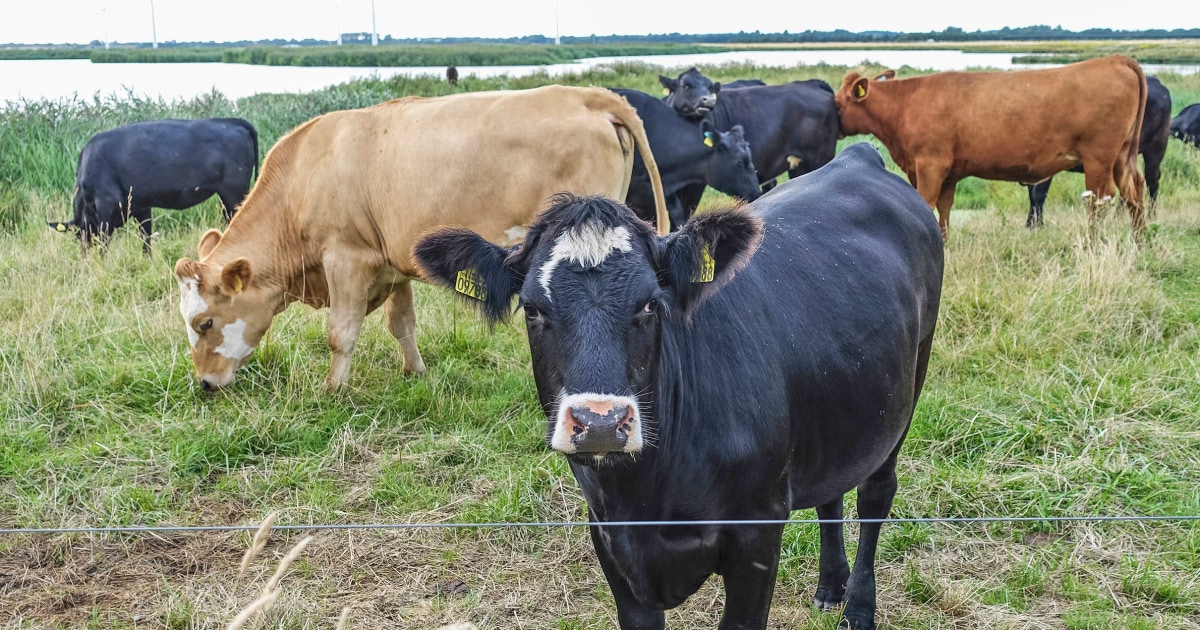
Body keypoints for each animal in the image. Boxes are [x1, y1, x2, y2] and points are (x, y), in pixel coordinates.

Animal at [49, 117, 258, 254]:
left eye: (79, 233)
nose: (83, 254)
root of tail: (232, 121)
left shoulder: (107, 205)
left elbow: (105, 242)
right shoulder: (141, 206)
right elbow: (146, 238)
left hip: (234, 192)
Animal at [173, 85, 667, 391]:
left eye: (205, 323)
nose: (204, 383)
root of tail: (589, 95)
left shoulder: (345, 258)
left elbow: (341, 332)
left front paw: (332, 390)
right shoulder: (393, 262)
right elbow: (402, 324)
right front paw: (415, 372)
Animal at [412, 143, 944, 630]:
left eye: (651, 303)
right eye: (532, 308)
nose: (600, 423)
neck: (646, 495)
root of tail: (857, 156)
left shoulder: (758, 532)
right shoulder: (610, 539)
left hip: (909, 384)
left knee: (875, 494)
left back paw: (857, 608)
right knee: (832, 491)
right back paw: (831, 587)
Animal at [834, 55, 1148, 240]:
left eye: (838, 104)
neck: (906, 104)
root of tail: (1115, 60)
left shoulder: (930, 165)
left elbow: (926, 202)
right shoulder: (949, 172)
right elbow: (945, 209)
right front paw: (944, 242)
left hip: (1099, 157)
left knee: (1100, 199)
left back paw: (1094, 241)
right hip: (1122, 156)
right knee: (1134, 190)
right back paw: (1140, 239)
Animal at [1027, 75, 1171, 226]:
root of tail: (1155, 81)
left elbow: (1038, 194)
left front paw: (1035, 225)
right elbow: (1033, 195)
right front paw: (1032, 223)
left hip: (1155, 151)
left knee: (1152, 182)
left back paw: (1151, 216)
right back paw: (1117, 218)